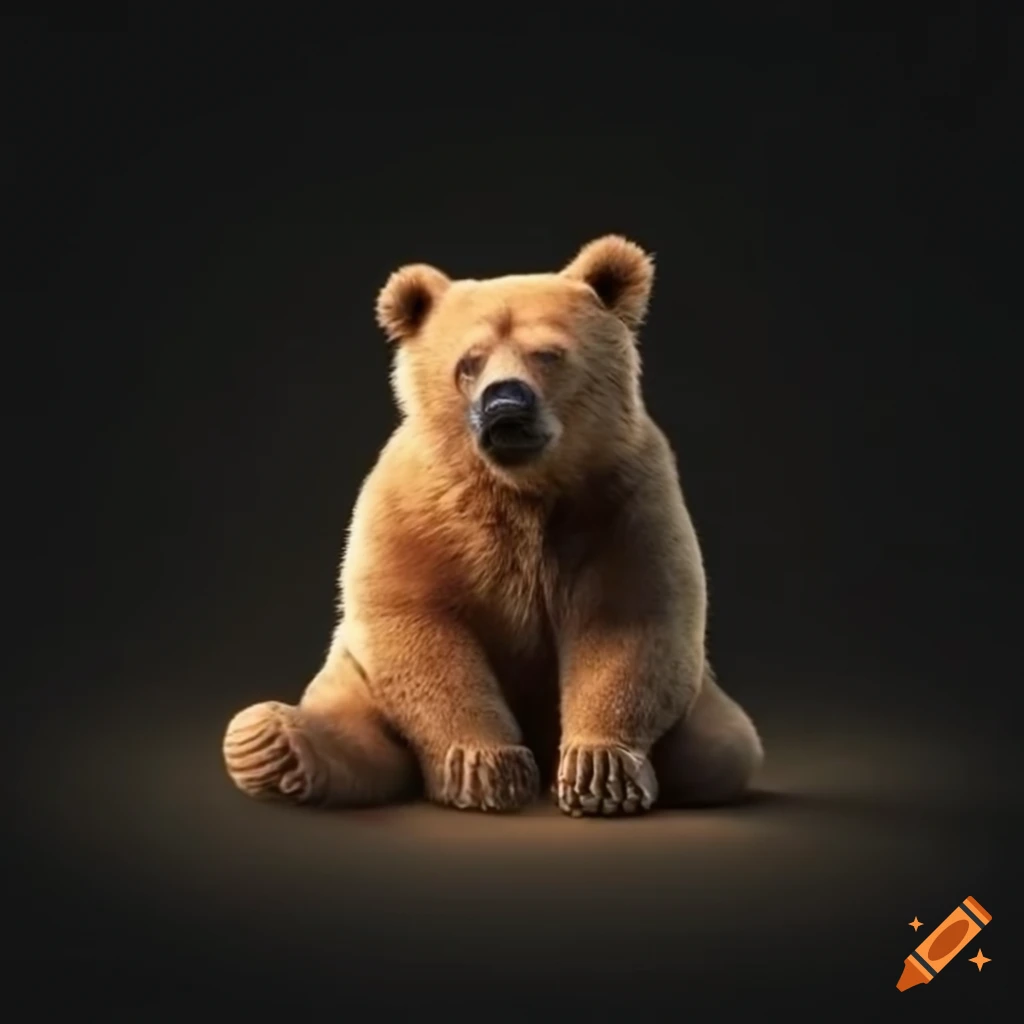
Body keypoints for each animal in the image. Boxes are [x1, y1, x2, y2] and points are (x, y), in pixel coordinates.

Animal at [222, 235, 763, 816]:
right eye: (469, 362)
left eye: (548, 354)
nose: (505, 404)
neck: (520, 490)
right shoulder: (414, 509)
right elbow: (419, 623)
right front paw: (487, 769)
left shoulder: (621, 500)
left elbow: (627, 619)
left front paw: (599, 773)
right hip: (353, 677)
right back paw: (268, 742)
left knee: (722, 745)